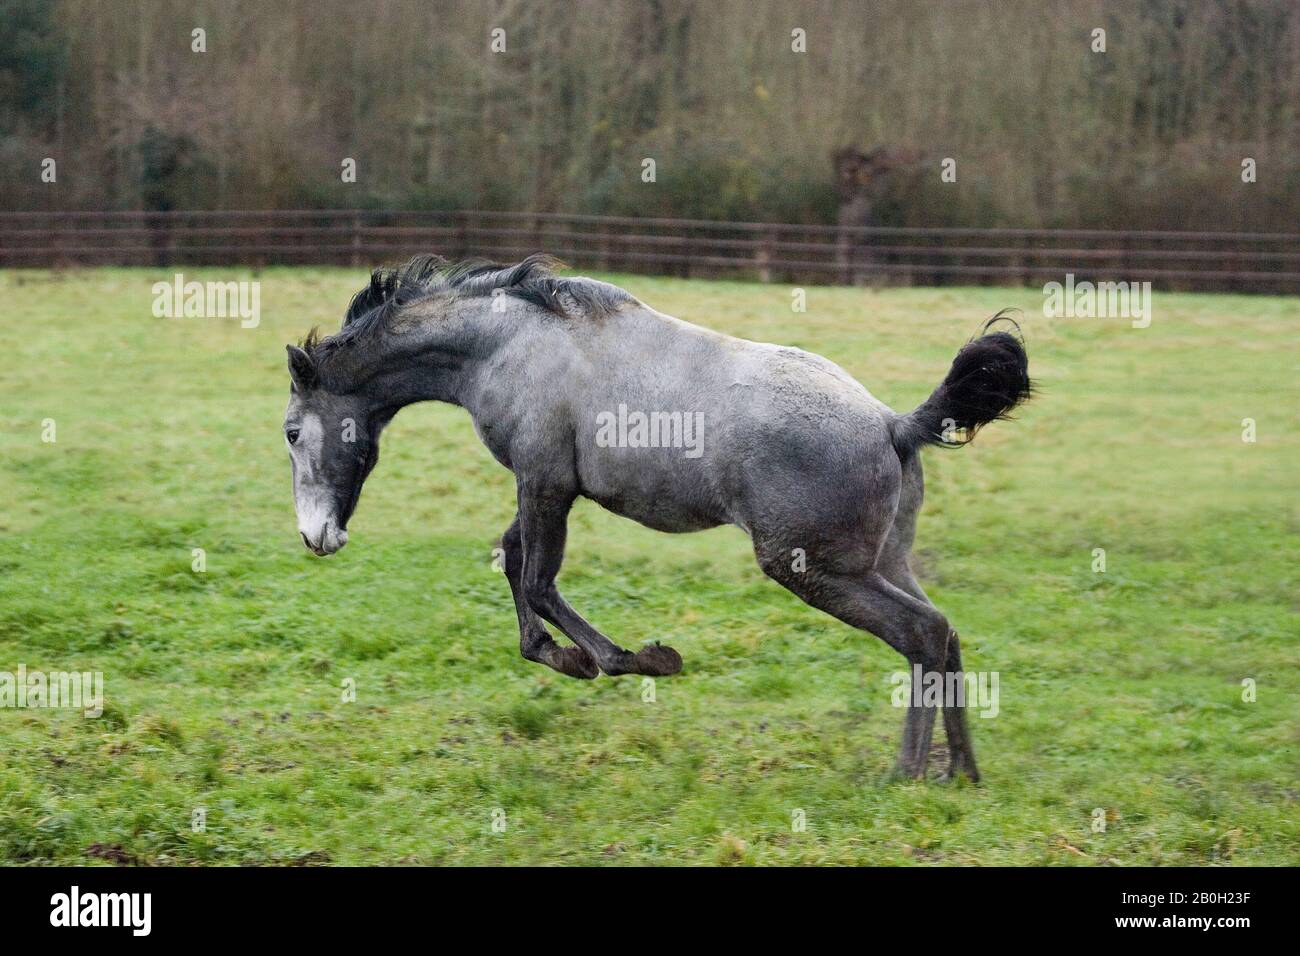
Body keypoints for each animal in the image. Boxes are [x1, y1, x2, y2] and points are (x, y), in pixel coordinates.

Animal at [282, 255, 1031, 780]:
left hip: (813, 569)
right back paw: (962, 772)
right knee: (946, 634)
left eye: (291, 431)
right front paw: (565, 656)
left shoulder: (545, 483)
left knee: (922, 634)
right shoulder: (541, 487)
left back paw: (906, 773)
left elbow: (537, 581)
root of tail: (892, 423)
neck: (505, 343)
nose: (316, 536)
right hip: (884, 562)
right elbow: (517, 563)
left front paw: (629, 660)